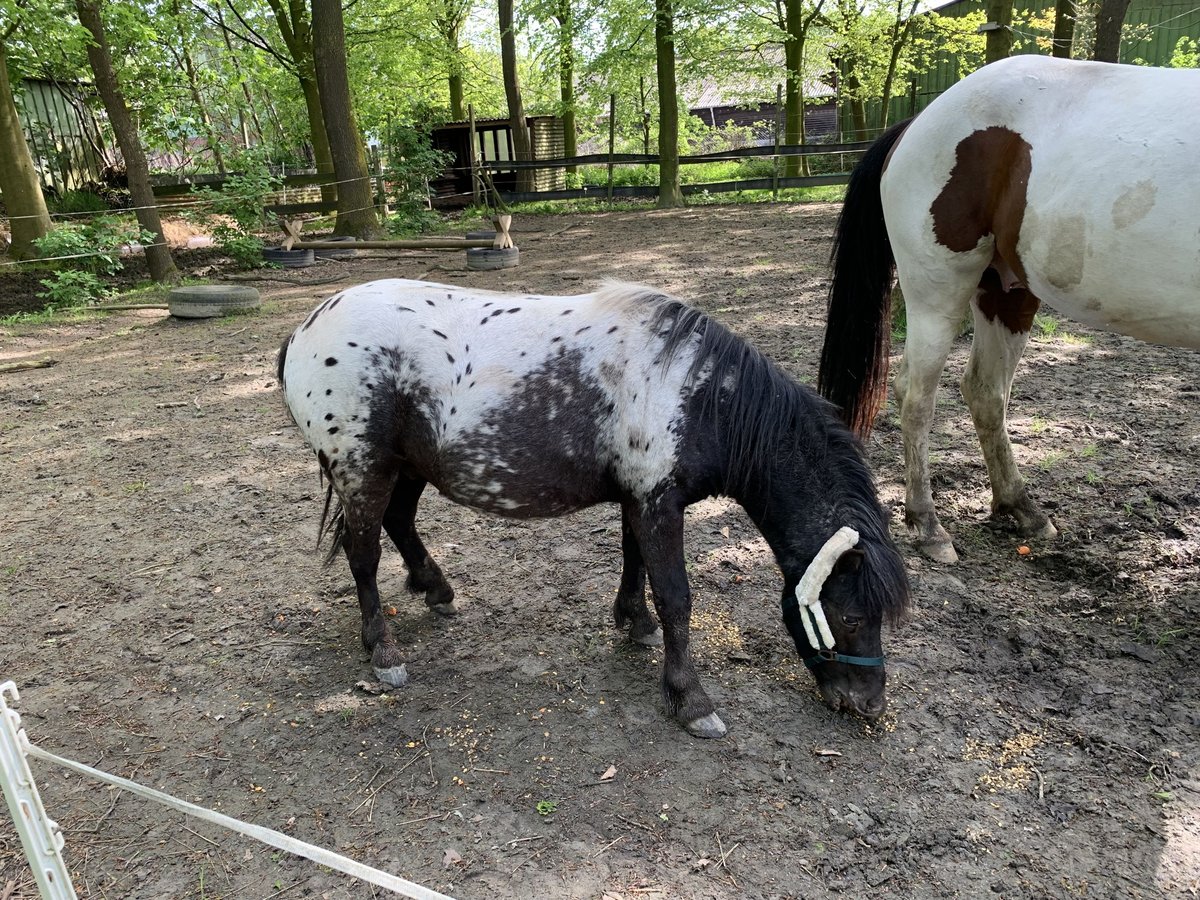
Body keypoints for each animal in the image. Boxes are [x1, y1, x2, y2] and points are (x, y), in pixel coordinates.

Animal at [278, 278, 909, 738]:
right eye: (853, 618)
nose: (870, 705)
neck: (700, 395)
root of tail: (306, 329)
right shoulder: (658, 503)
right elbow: (677, 598)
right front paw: (690, 699)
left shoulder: (641, 499)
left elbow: (635, 566)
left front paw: (634, 622)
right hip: (365, 469)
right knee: (363, 554)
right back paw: (382, 650)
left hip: (407, 468)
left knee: (399, 524)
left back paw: (436, 590)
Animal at [819, 55, 1200, 564]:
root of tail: (917, 122)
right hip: (939, 290)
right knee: (917, 396)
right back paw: (929, 525)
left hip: (1006, 292)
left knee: (984, 391)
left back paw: (1022, 509)